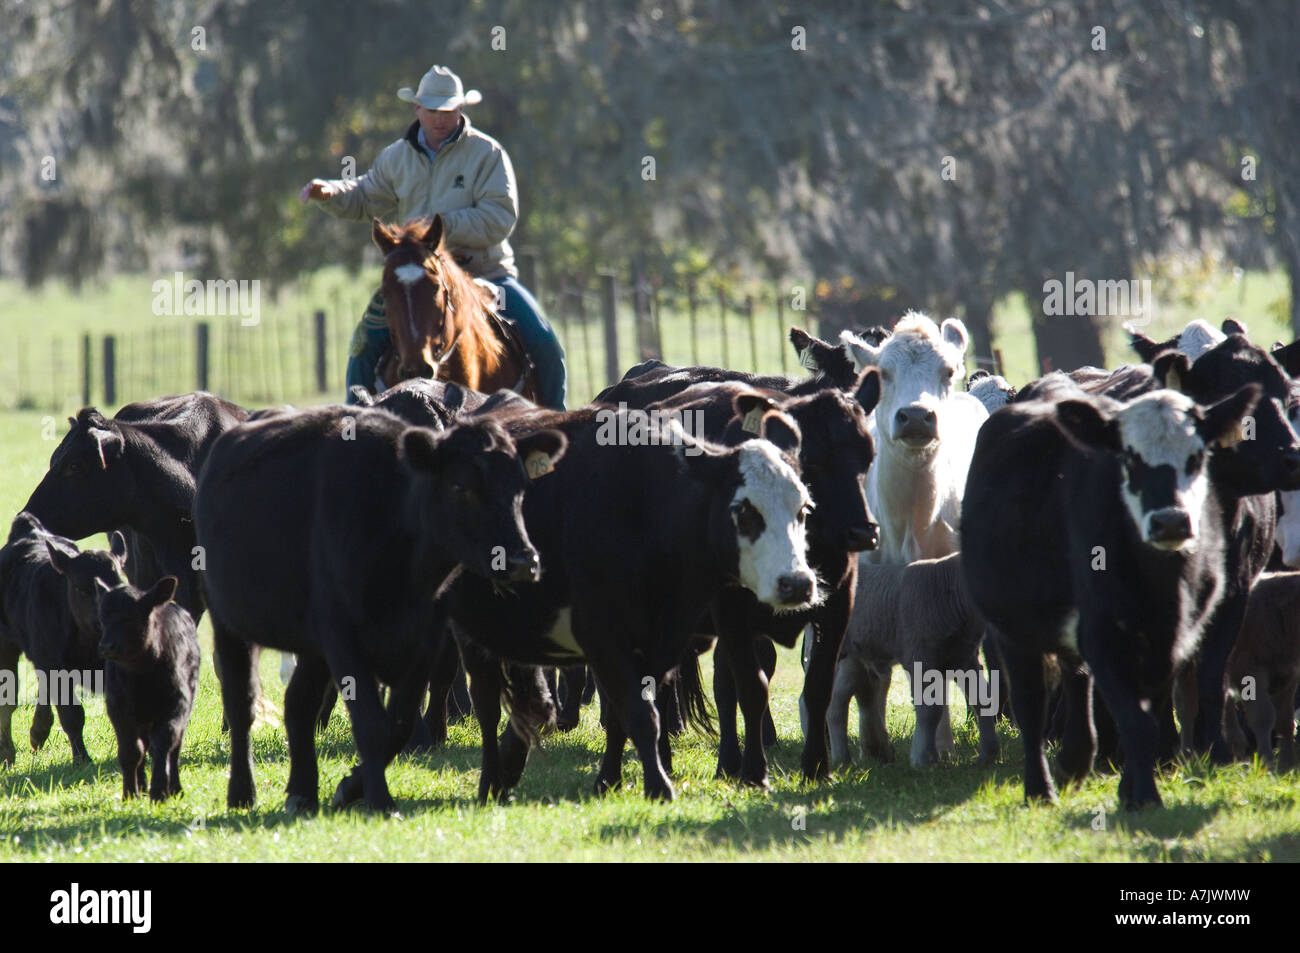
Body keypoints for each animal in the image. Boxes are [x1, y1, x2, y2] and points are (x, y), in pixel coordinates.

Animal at [0, 513, 125, 766]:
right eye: (81, 588)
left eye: (119, 582)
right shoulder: (57, 667)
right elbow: (72, 714)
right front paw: (82, 758)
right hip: (8, 646)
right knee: (8, 700)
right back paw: (7, 752)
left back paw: (38, 732)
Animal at [95, 558, 200, 801]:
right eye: (102, 620)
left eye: (130, 618)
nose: (106, 647)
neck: (140, 677)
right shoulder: (118, 709)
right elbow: (130, 751)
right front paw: (129, 792)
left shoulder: (176, 705)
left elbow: (162, 745)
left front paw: (159, 790)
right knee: (142, 746)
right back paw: (141, 785)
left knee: (174, 748)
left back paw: (174, 788)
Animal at [193, 404, 566, 813]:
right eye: (460, 486)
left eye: (520, 487)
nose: (522, 560)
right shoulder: (343, 638)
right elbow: (371, 724)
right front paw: (379, 800)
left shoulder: (425, 642)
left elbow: (398, 725)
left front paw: (350, 788)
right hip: (228, 623)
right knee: (240, 703)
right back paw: (242, 792)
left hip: (312, 648)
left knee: (298, 704)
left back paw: (302, 792)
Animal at [439, 401, 818, 802]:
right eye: (745, 511)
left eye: (803, 509)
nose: (797, 584)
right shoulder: (600, 634)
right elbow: (639, 714)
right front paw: (658, 786)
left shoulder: (662, 640)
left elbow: (624, 714)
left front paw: (609, 779)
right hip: (471, 635)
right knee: (486, 706)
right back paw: (490, 781)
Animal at [963, 374, 1260, 808]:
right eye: (1130, 459)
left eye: (1196, 457)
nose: (1171, 521)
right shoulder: (1102, 634)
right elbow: (1135, 721)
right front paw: (1145, 798)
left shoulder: (1171, 641)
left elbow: (1148, 716)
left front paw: (1131, 788)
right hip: (1012, 631)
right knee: (1030, 704)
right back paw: (1040, 787)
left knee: (1076, 680)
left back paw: (1075, 758)